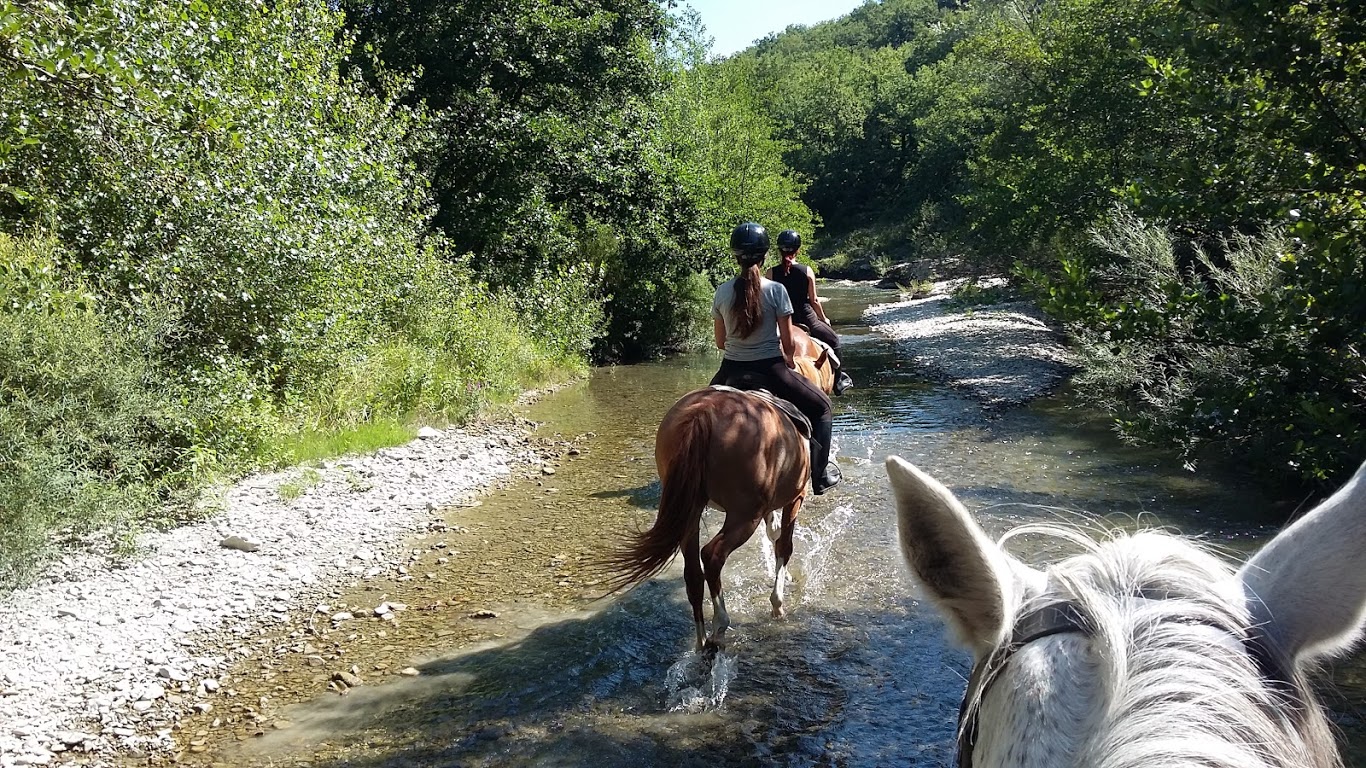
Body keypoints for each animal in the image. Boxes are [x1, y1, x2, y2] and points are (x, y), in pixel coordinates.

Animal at [603, 338, 833, 650]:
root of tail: (702, 414)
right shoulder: (795, 498)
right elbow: (784, 545)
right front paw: (778, 604)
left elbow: (773, 533)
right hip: (743, 516)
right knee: (712, 555)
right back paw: (720, 624)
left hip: (690, 511)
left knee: (693, 574)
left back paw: (702, 641)